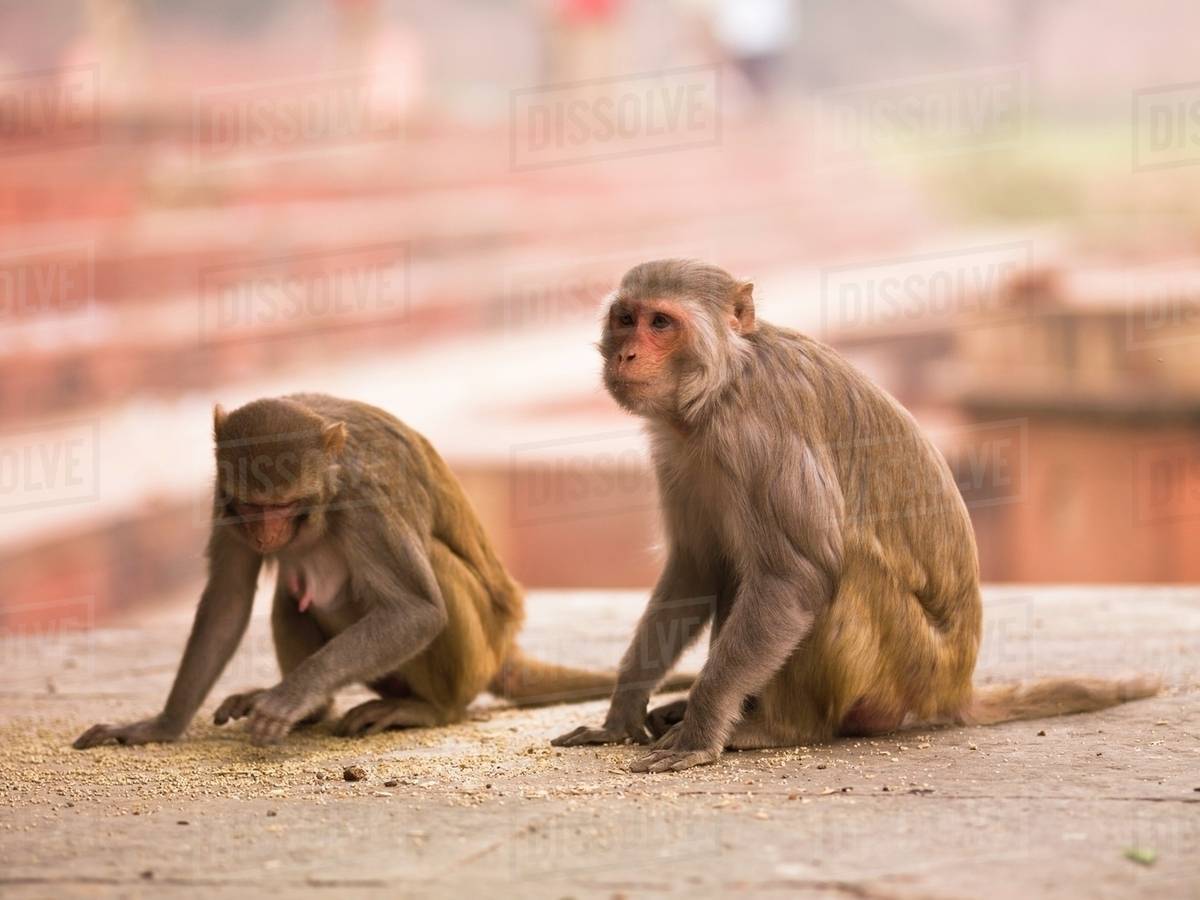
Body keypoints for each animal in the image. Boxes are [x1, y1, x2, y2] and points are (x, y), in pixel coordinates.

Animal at [74, 394, 689, 749]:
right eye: (252, 506)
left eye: (285, 505)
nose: (266, 535)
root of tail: (504, 653)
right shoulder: (221, 499)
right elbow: (227, 601)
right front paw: (159, 726)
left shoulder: (363, 500)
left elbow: (417, 610)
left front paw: (290, 698)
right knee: (291, 594)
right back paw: (319, 706)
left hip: (476, 652)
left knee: (432, 578)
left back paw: (426, 709)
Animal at [552, 259, 1161, 773]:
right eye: (625, 319)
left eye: (661, 322)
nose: (626, 355)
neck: (718, 386)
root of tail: (955, 688)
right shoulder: (675, 450)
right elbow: (694, 570)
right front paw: (623, 711)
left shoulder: (757, 432)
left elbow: (795, 578)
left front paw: (701, 732)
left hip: (909, 670)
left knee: (843, 566)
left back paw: (774, 728)